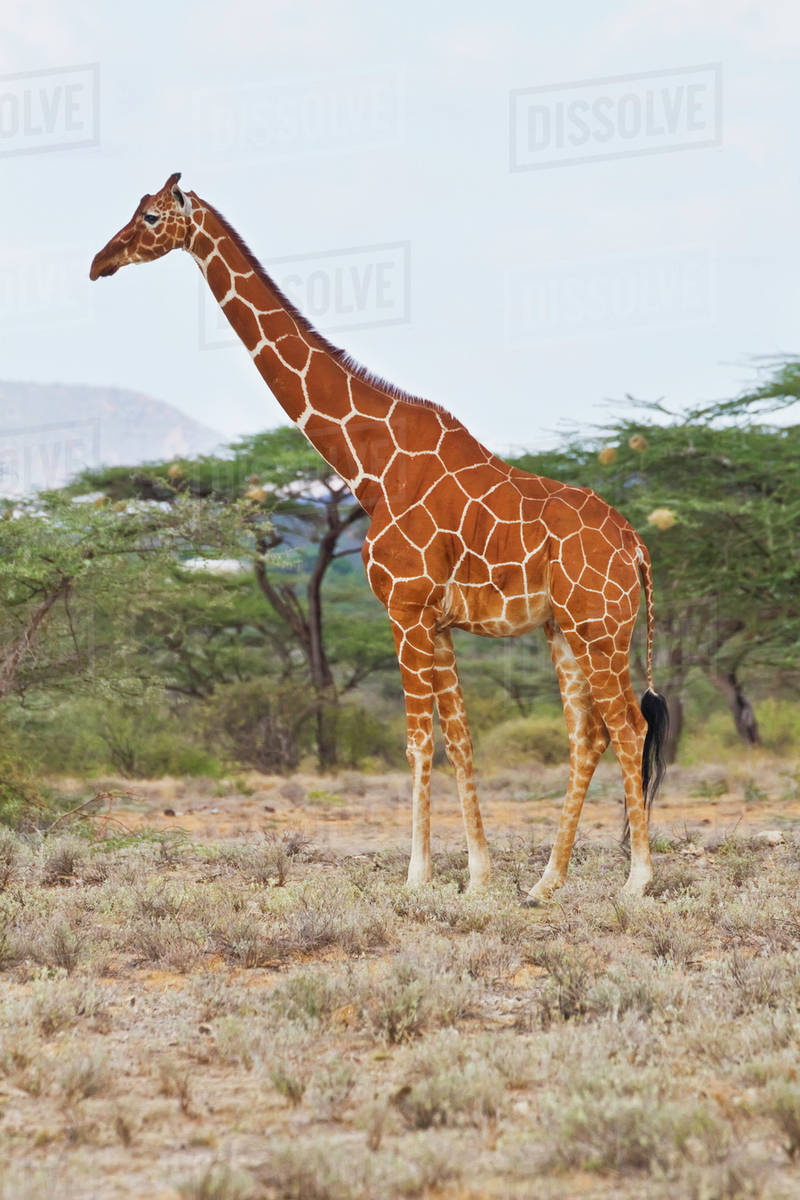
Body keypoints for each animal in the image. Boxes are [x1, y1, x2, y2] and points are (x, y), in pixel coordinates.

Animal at [90, 173, 669, 901]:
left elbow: (419, 740)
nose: (100, 262)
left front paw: (417, 876)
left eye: (151, 217)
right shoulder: (437, 620)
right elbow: (460, 738)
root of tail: (638, 548)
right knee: (586, 735)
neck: (369, 467)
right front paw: (477, 876)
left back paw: (636, 880)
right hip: (563, 629)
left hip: (600, 627)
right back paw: (545, 883)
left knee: (628, 726)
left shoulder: (404, 609)